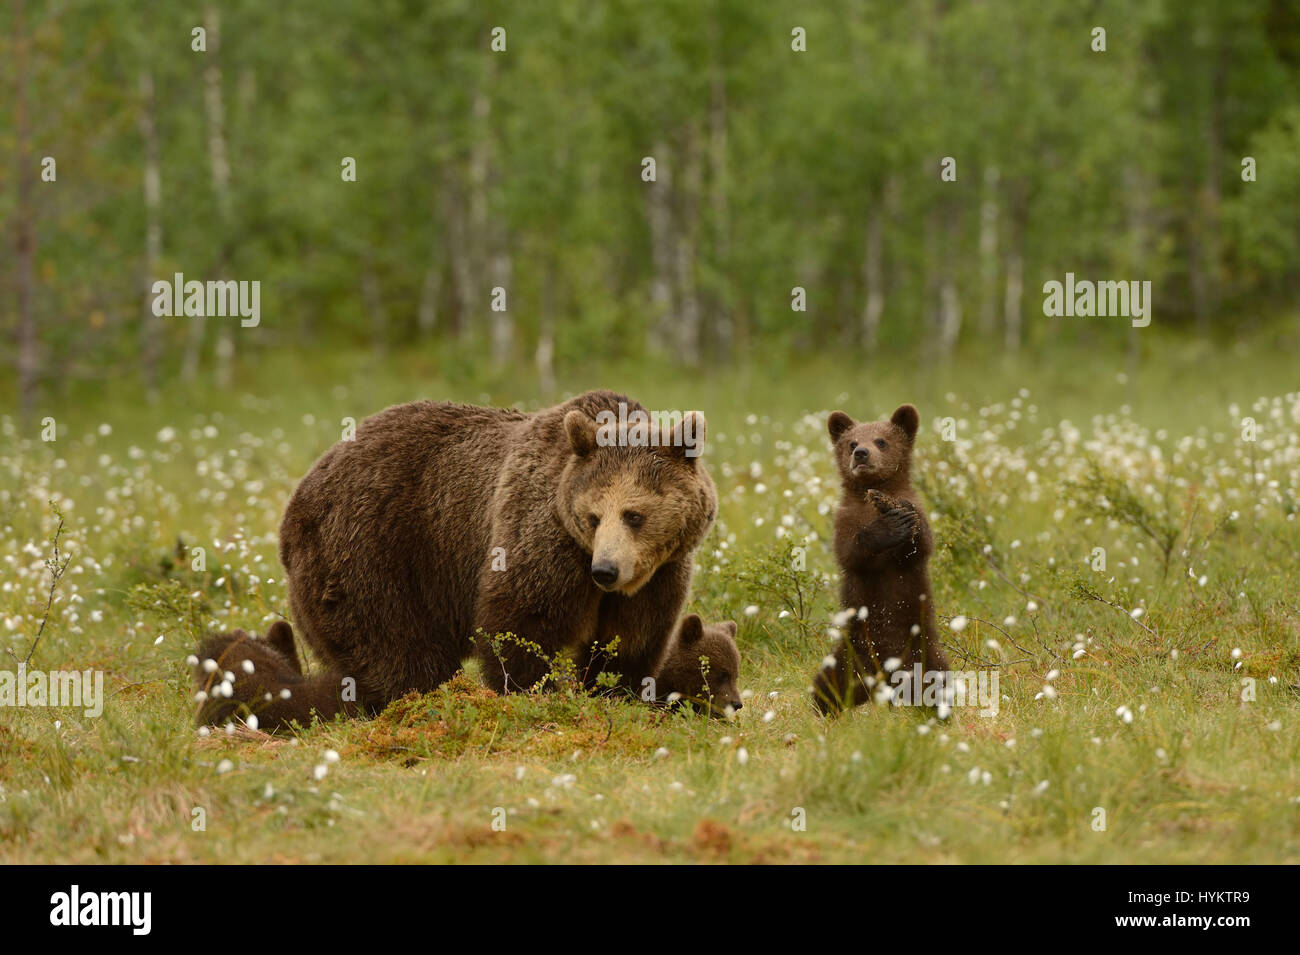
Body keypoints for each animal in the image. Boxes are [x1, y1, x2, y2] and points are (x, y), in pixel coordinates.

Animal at [197, 391, 716, 729]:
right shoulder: (540, 539)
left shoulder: (659, 574)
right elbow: (521, 622)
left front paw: (618, 692)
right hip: (372, 553)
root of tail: (296, 502)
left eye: (634, 514)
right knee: (396, 650)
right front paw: (534, 695)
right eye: (592, 517)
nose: (605, 570)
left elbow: (630, 639)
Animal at [810, 404, 950, 715]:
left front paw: (901, 517)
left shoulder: (918, 509)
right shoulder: (845, 520)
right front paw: (888, 526)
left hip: (924, 651)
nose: (861, 453)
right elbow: (850, 553)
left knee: (938, 680)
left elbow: (920, 546)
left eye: (881, 441)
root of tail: (885, 678)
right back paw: (824, 708)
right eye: (852, 442)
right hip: (851, 656)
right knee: (827, 684)